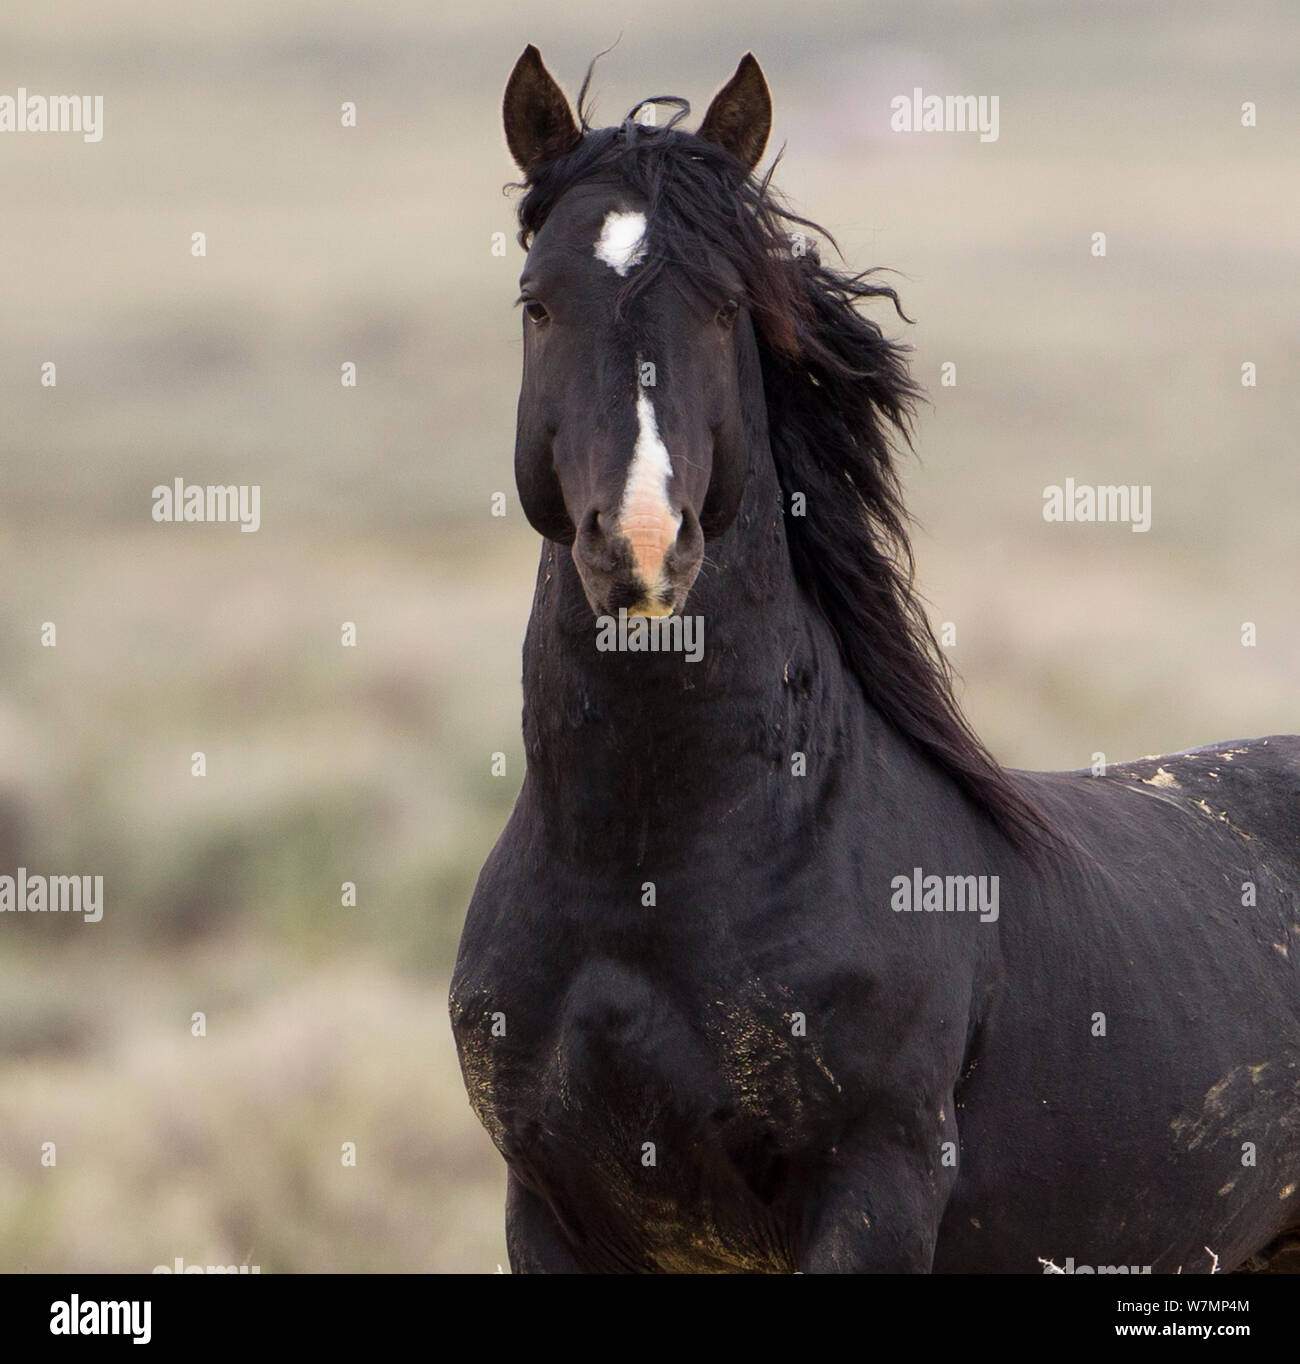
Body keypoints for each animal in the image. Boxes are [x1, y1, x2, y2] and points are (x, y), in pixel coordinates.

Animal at [450, 46, 1300, 1273]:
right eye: (538, 304)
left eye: (723, 305)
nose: (643, 544)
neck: (647, 876)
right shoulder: (548, 1205)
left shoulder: (875, 1190)